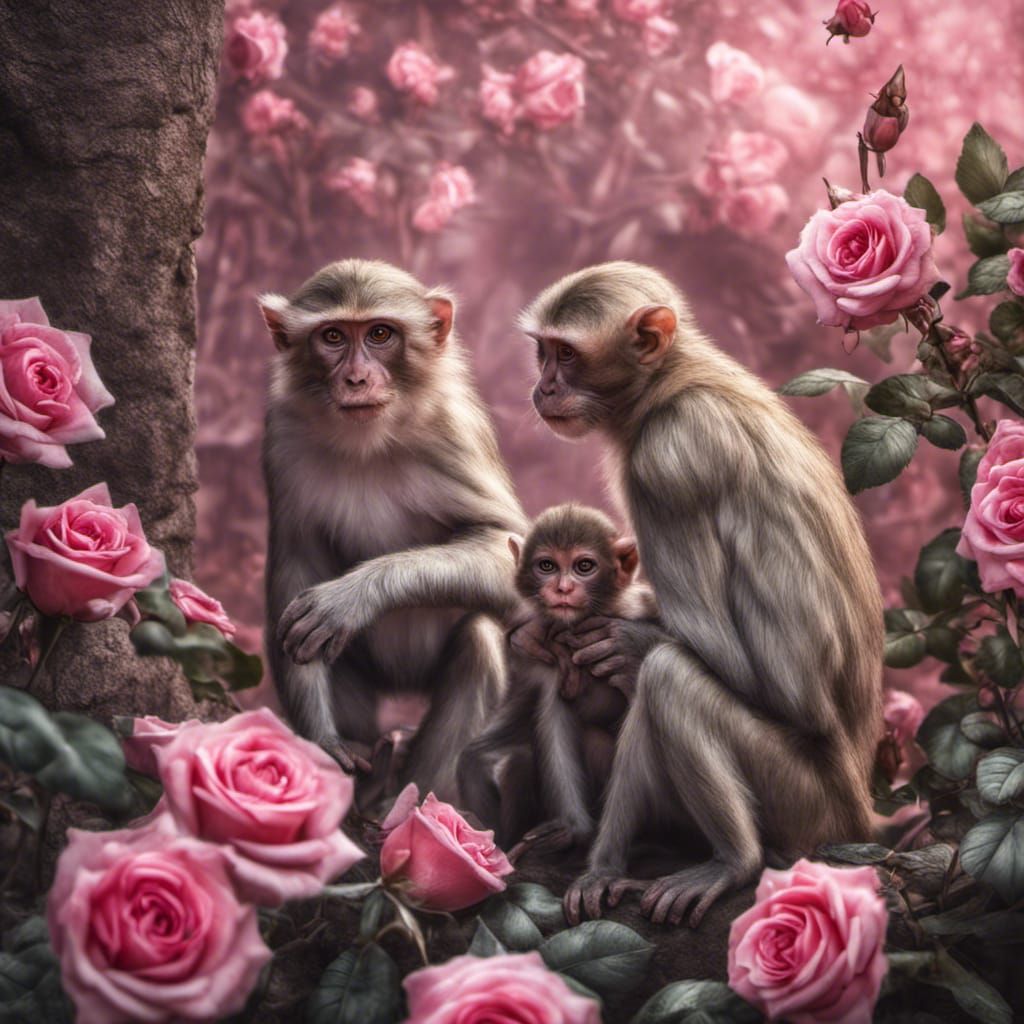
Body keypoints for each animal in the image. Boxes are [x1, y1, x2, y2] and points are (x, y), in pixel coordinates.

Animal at [259, 259, 527, 802]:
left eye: (380, 334)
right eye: (333, 336)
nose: (357, 378)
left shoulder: (455, 434)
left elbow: (509, 549)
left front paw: (353, 595)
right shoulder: (282, 436)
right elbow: (296, 574)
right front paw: (320, 744)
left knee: (479, 638)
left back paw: (415, 802)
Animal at [457, 503, 659, 854]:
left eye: (584, 566)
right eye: (547, 566)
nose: (563, 588)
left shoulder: (639, 606)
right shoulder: (550, 658)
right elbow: (556, 717)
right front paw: (573, 828)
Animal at [517, 261, 884, 927]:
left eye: (567, 355)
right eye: (543, 353)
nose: (544, 387)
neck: (670, 383)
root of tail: (859, 814)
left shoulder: (667, 462)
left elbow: (756, 676)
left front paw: (623, 637)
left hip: (806, 806)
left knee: (668, 676)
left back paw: (734, 862)